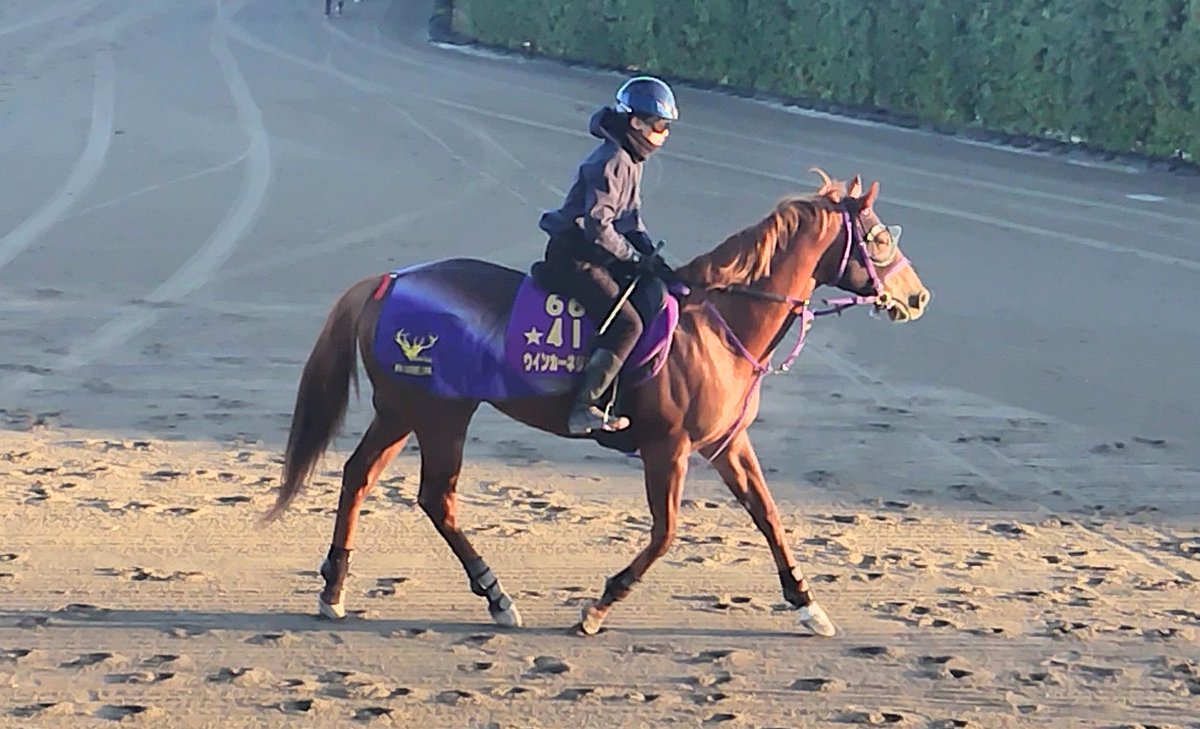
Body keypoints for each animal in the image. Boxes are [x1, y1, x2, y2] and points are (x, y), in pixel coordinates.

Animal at [266, 171, 931, 637]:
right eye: (877, 237)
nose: (918, 296)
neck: (719, 324)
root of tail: (390, 280)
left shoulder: (726, 444)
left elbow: (768, 516)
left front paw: (808, 604)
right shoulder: (667, 448)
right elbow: (665, 533)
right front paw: (597, 607)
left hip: (402, 411)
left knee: (359, 476)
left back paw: (334, 590)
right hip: (440, 414)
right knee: (436, 498)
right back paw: (496, 595)